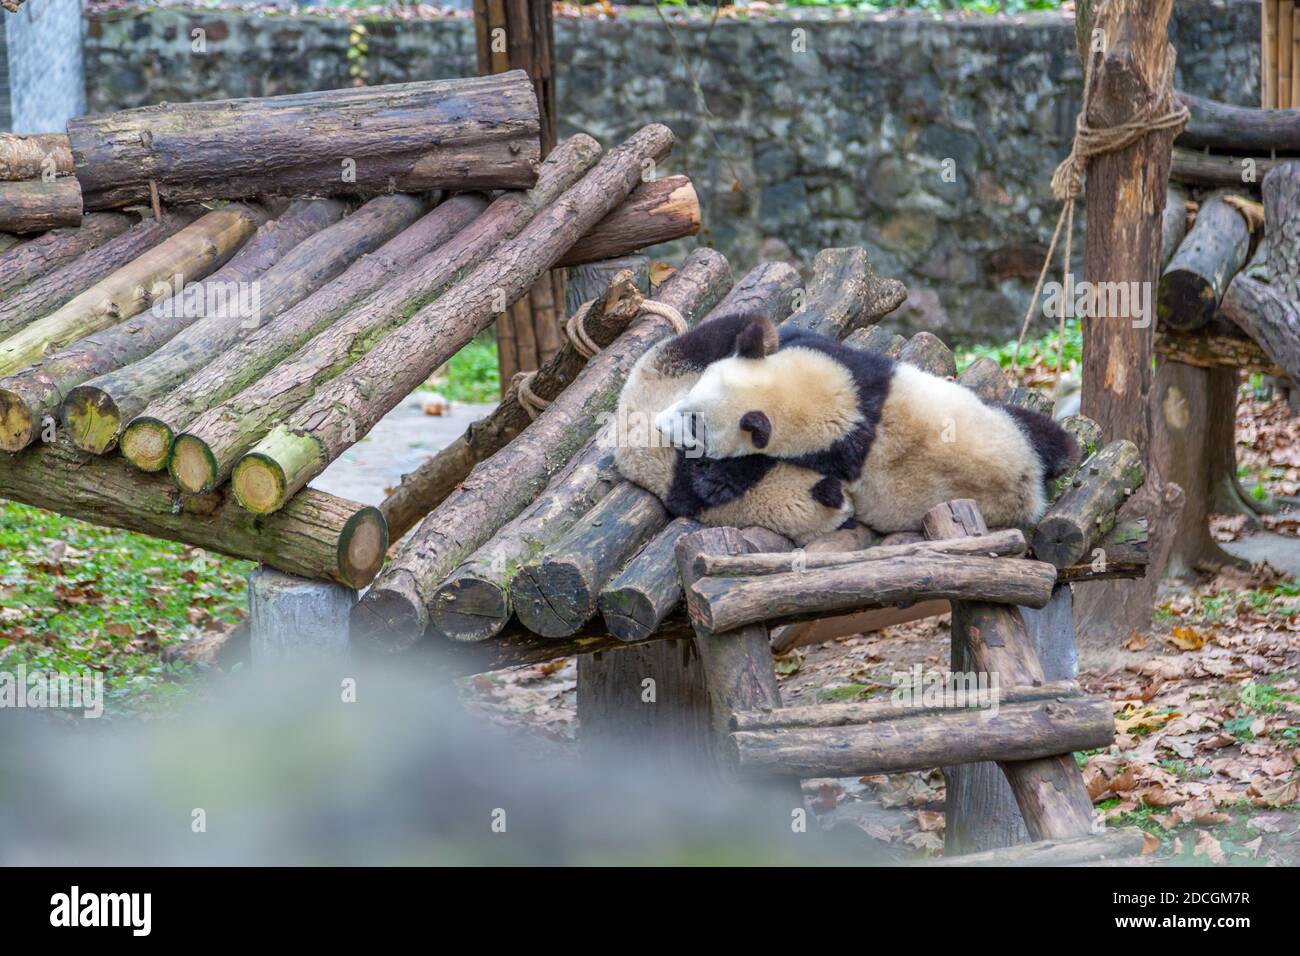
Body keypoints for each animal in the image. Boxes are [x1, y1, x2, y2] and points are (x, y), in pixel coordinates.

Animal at [655, 316, 1080, 532]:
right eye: (691, 391)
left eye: (695, 425)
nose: (659, 424)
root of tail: (1029, 494)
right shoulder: (861, 372)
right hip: (1007, 424)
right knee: (1048, 437)